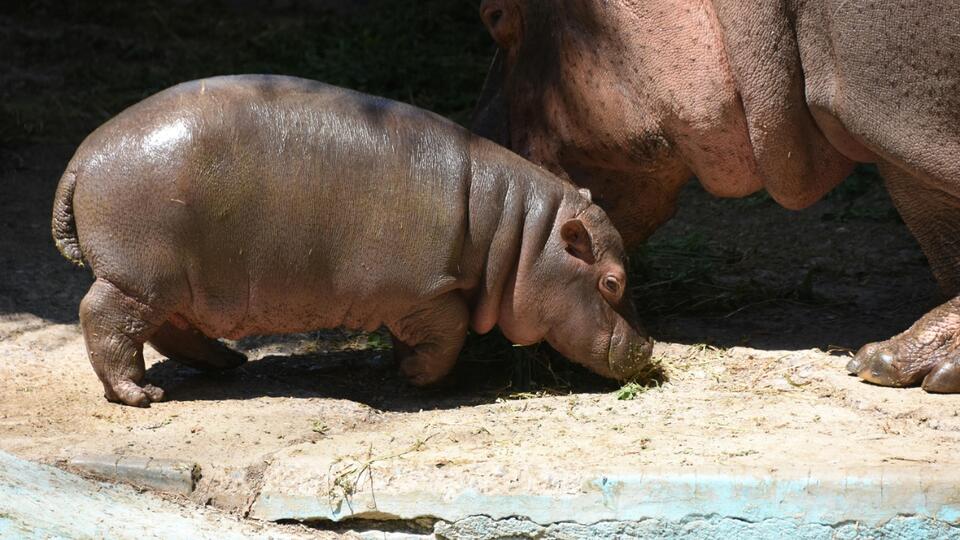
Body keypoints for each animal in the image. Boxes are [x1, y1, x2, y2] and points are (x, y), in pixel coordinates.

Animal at [52, 75, 652, 407]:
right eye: (612, 281)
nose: (649, 348)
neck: (520, 234)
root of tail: (80, 159)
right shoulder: (425, 291)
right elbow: (449, 333)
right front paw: (416, 377)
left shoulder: (418, 299)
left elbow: (424, 335)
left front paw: (402, 366)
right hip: (139, 277)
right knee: (104, 318)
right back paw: (140, 396)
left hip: (178, 282)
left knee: (170, 330)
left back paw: (228, 363)